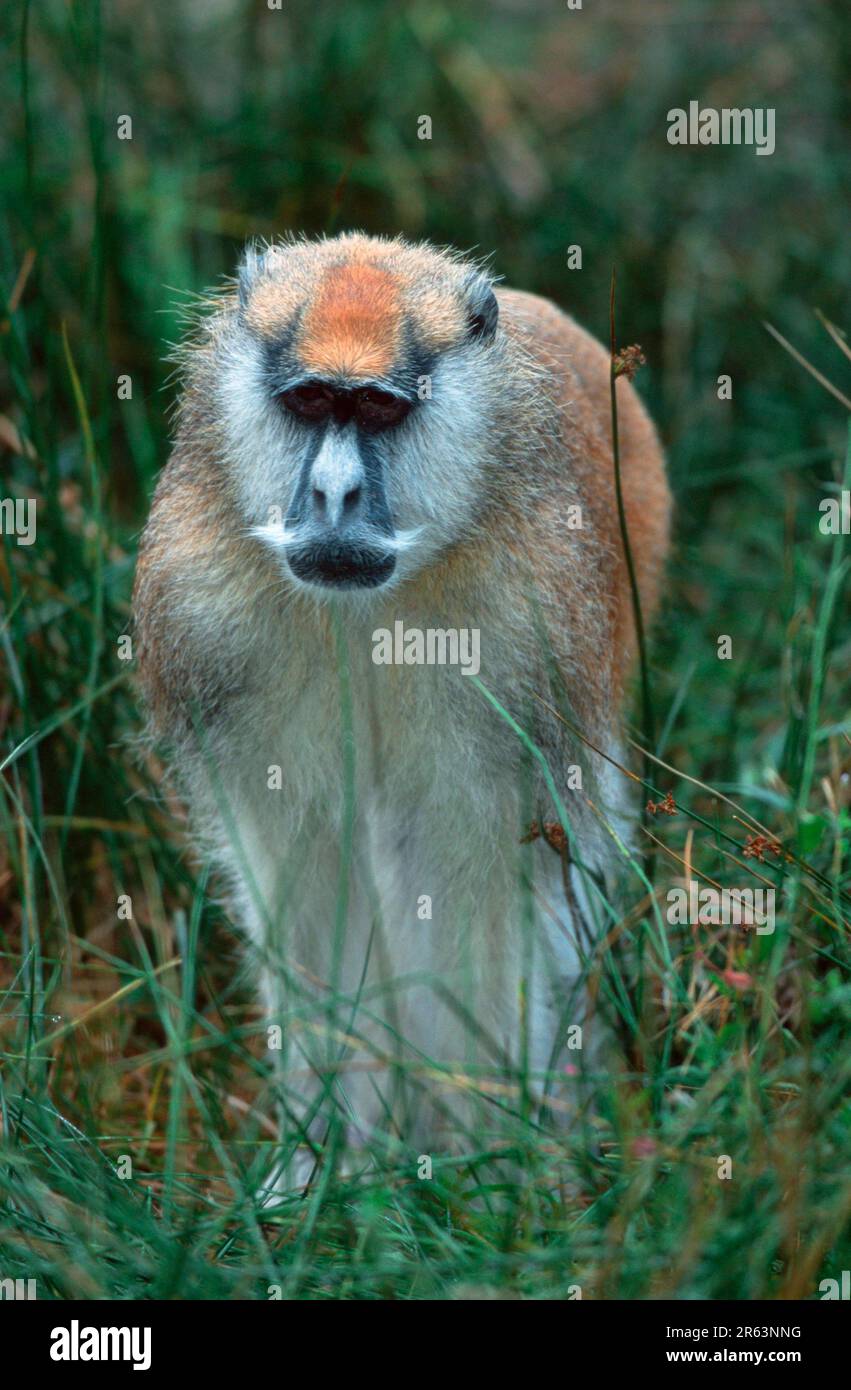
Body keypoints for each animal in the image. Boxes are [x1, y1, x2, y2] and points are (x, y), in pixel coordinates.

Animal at [133, 232, 671, 1195]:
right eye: (311, 402)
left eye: (380, 412)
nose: (334, 495)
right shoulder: (201, 616)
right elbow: (299, 877)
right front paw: (319, 1169)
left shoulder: (531, 639)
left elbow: (488, 884)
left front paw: (497, 1159)